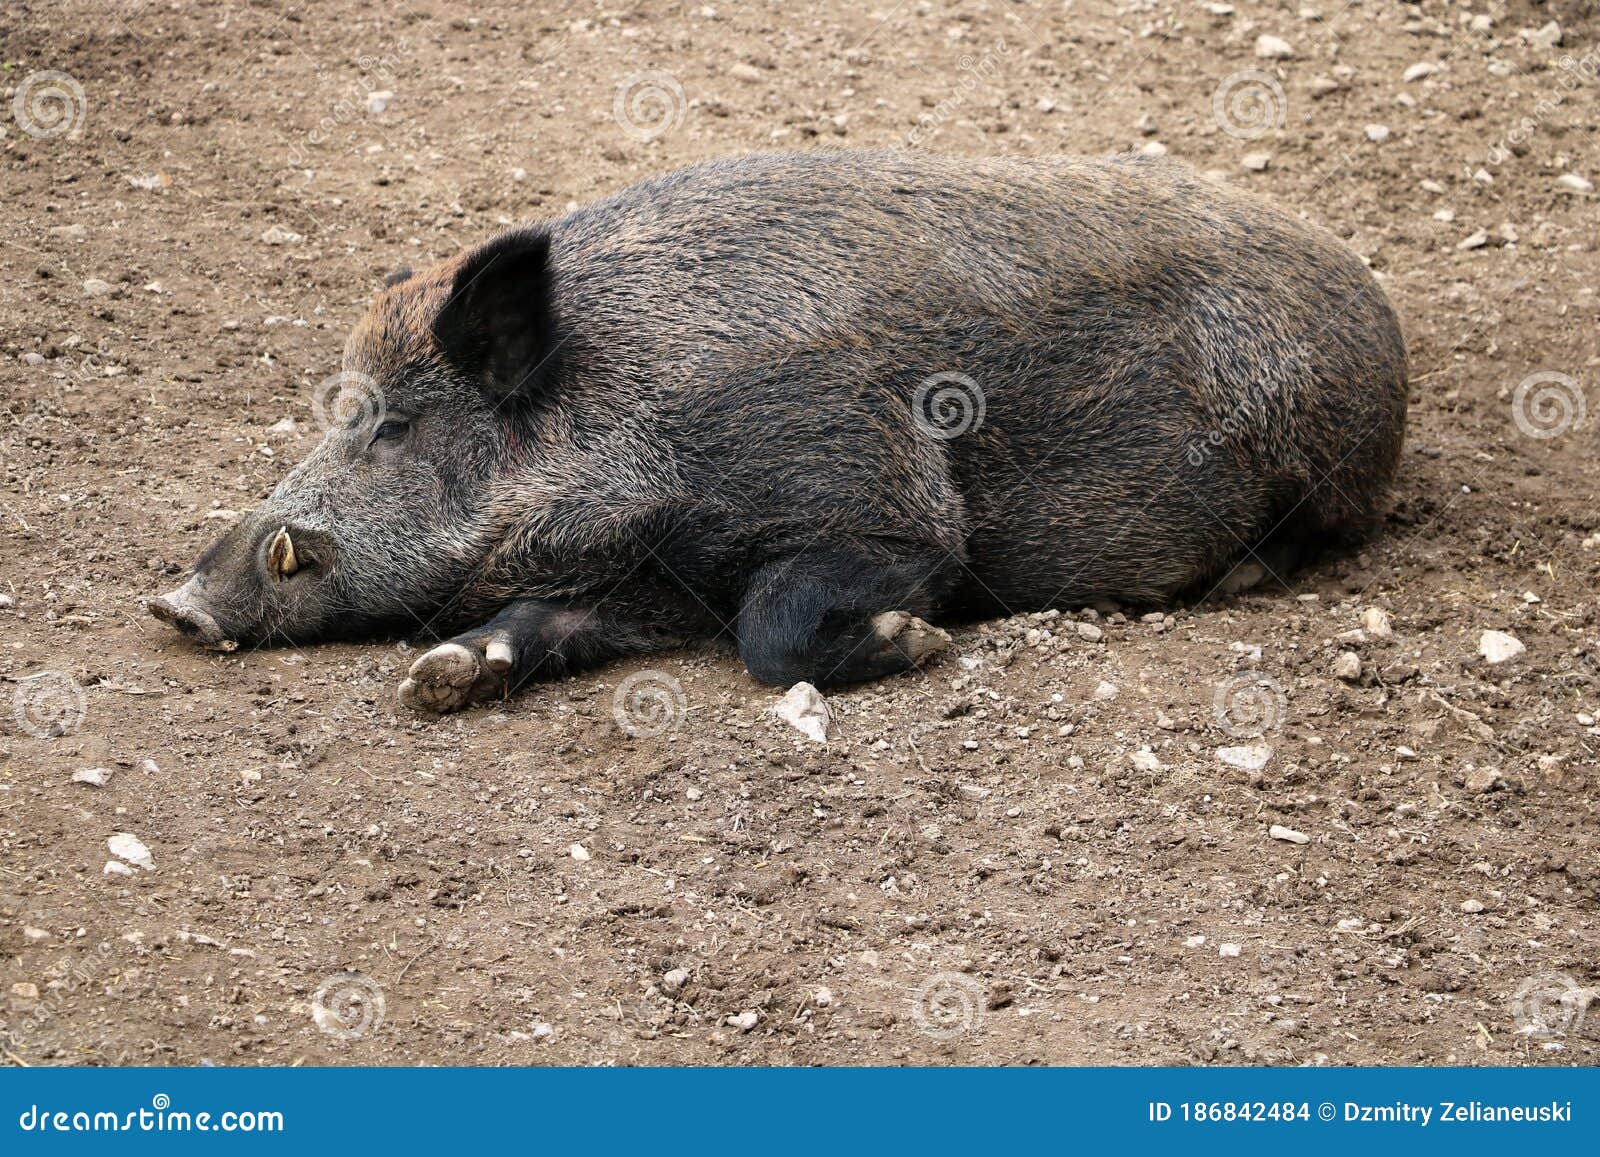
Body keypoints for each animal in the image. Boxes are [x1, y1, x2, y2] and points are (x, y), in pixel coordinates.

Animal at [148, 149, 1408, 712]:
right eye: (340, 406)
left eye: (398, 425)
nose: (175, 602)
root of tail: (1373, 301)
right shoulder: (640, 584)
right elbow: (532, 622)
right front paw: (438, 678)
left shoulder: (884, 506)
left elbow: (777, 624)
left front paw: (919, 642)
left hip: (1310, 448)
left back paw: (1236, 580)